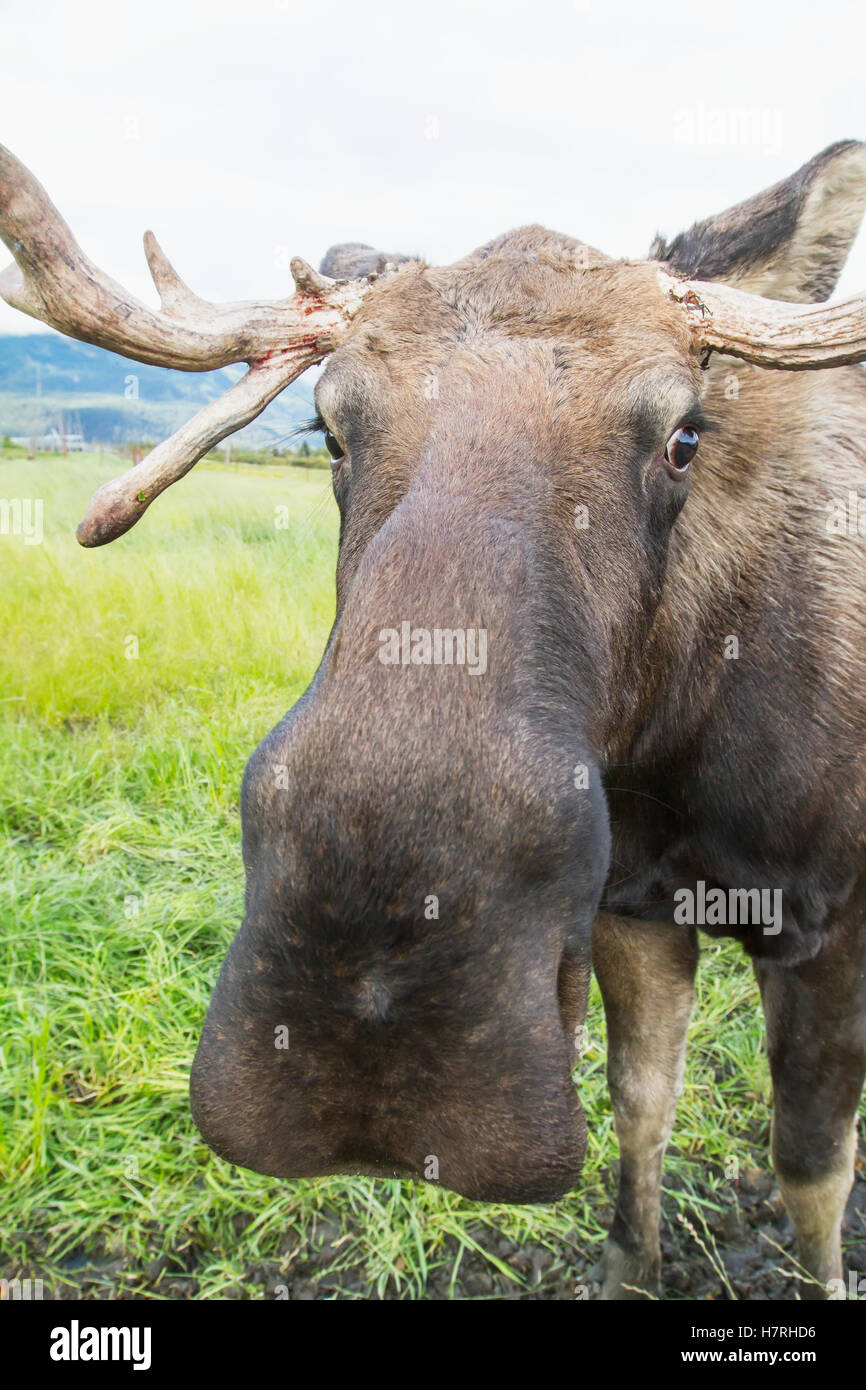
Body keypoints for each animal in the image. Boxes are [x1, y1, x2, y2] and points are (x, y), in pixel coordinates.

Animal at [3, 139, 866, 1299]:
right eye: (328, 426)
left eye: (684, 435)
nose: (376, 1029)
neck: (679, 741)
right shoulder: (631, 906)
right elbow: (642, 1105)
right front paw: (628, 1263)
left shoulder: (828, 926)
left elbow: (811, 1170)